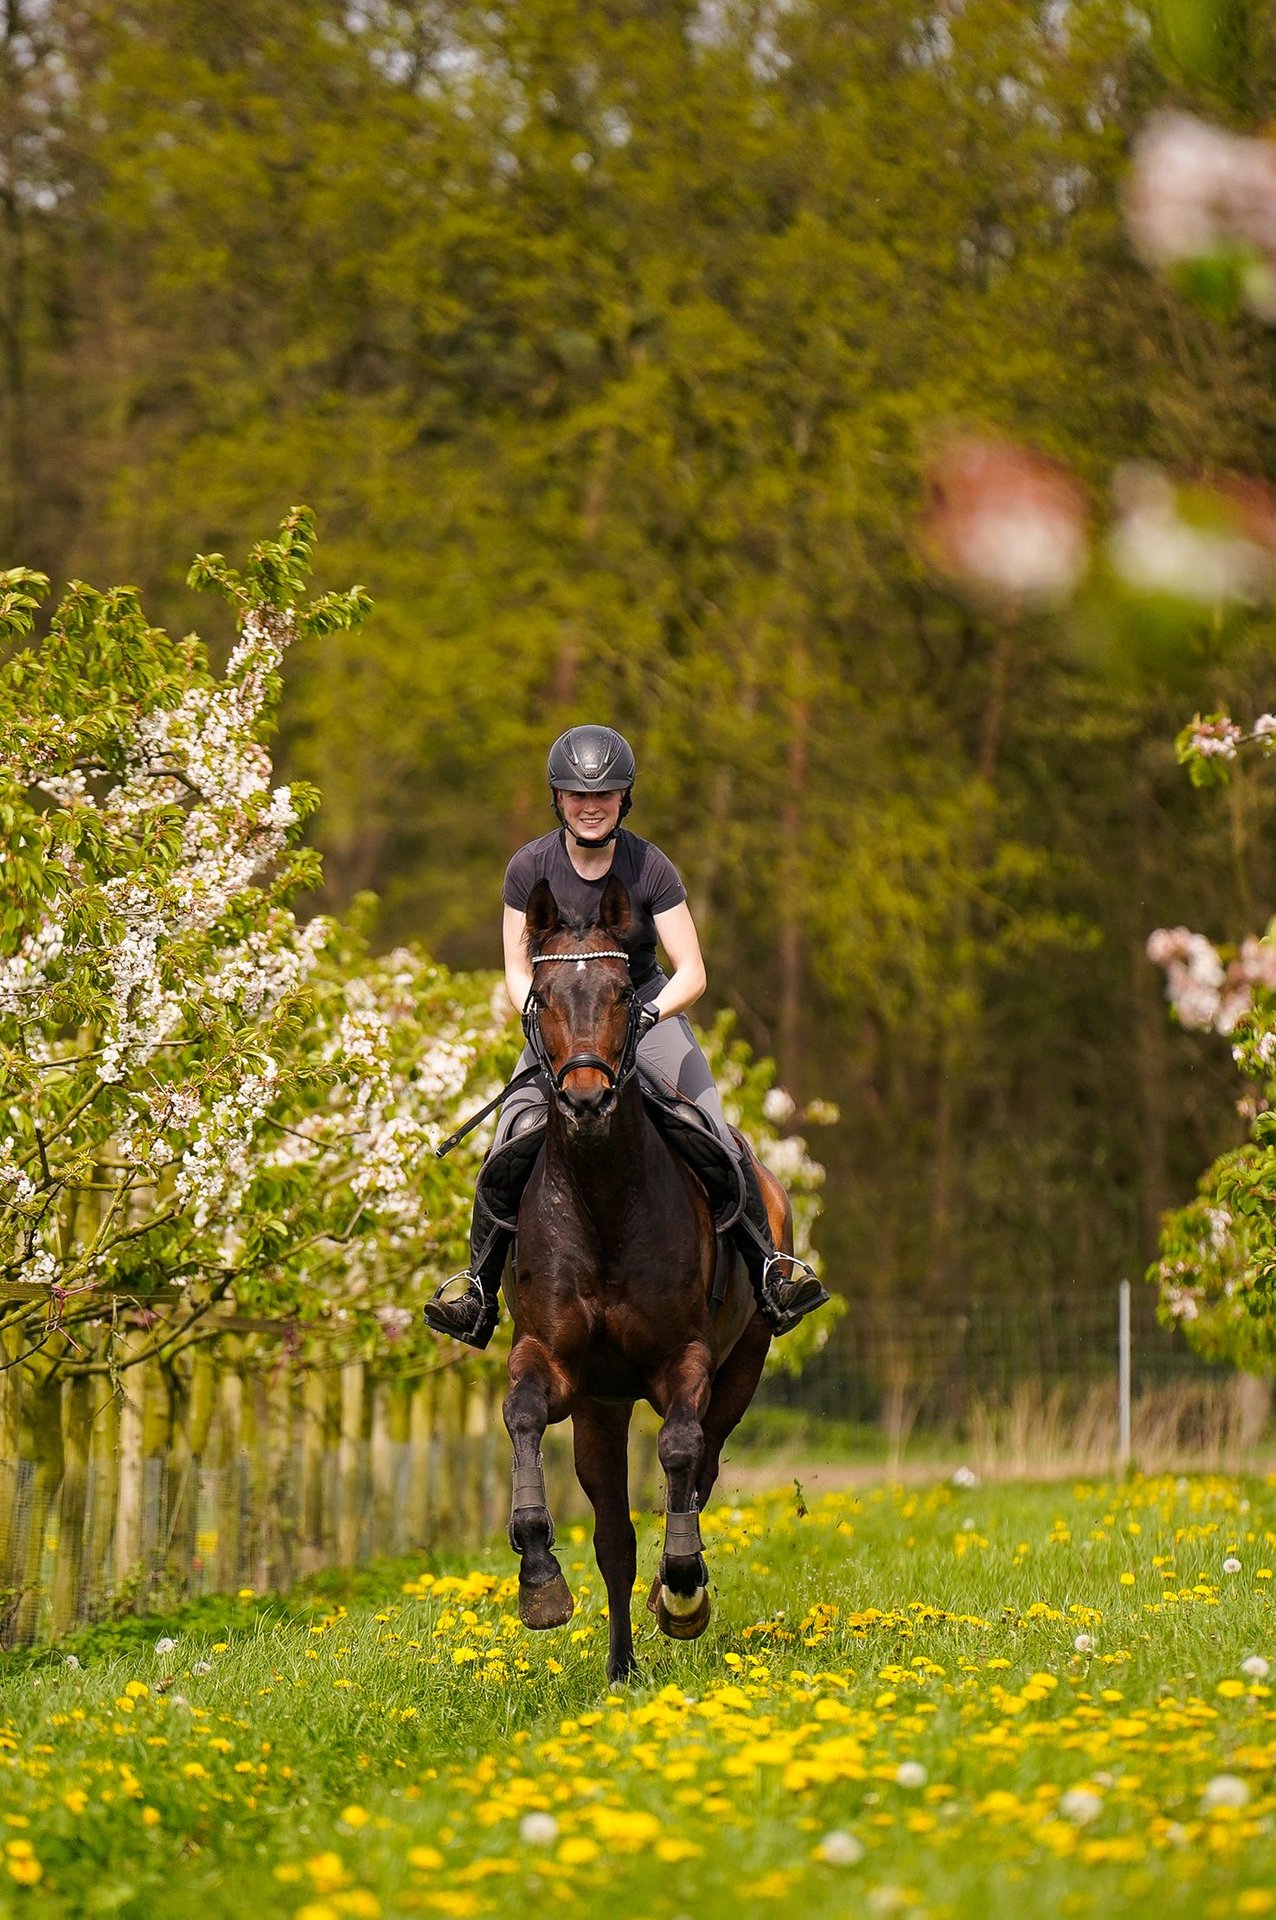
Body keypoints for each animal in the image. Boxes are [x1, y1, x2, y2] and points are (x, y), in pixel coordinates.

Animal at [502, 871, 793, 1684]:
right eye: (543, 996)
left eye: (622, 994)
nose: (586, 1099)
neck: (604, 1199)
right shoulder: (554, 1362)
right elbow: (523, 1415)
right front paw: (539, 1579)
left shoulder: (683, 1360)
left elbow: (681, 1453)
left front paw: (686, 1589)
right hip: (602, 1407)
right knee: (614, 1538)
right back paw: (620, 1669)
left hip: (741, 1367)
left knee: (704, 1464)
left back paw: (673, 1592)